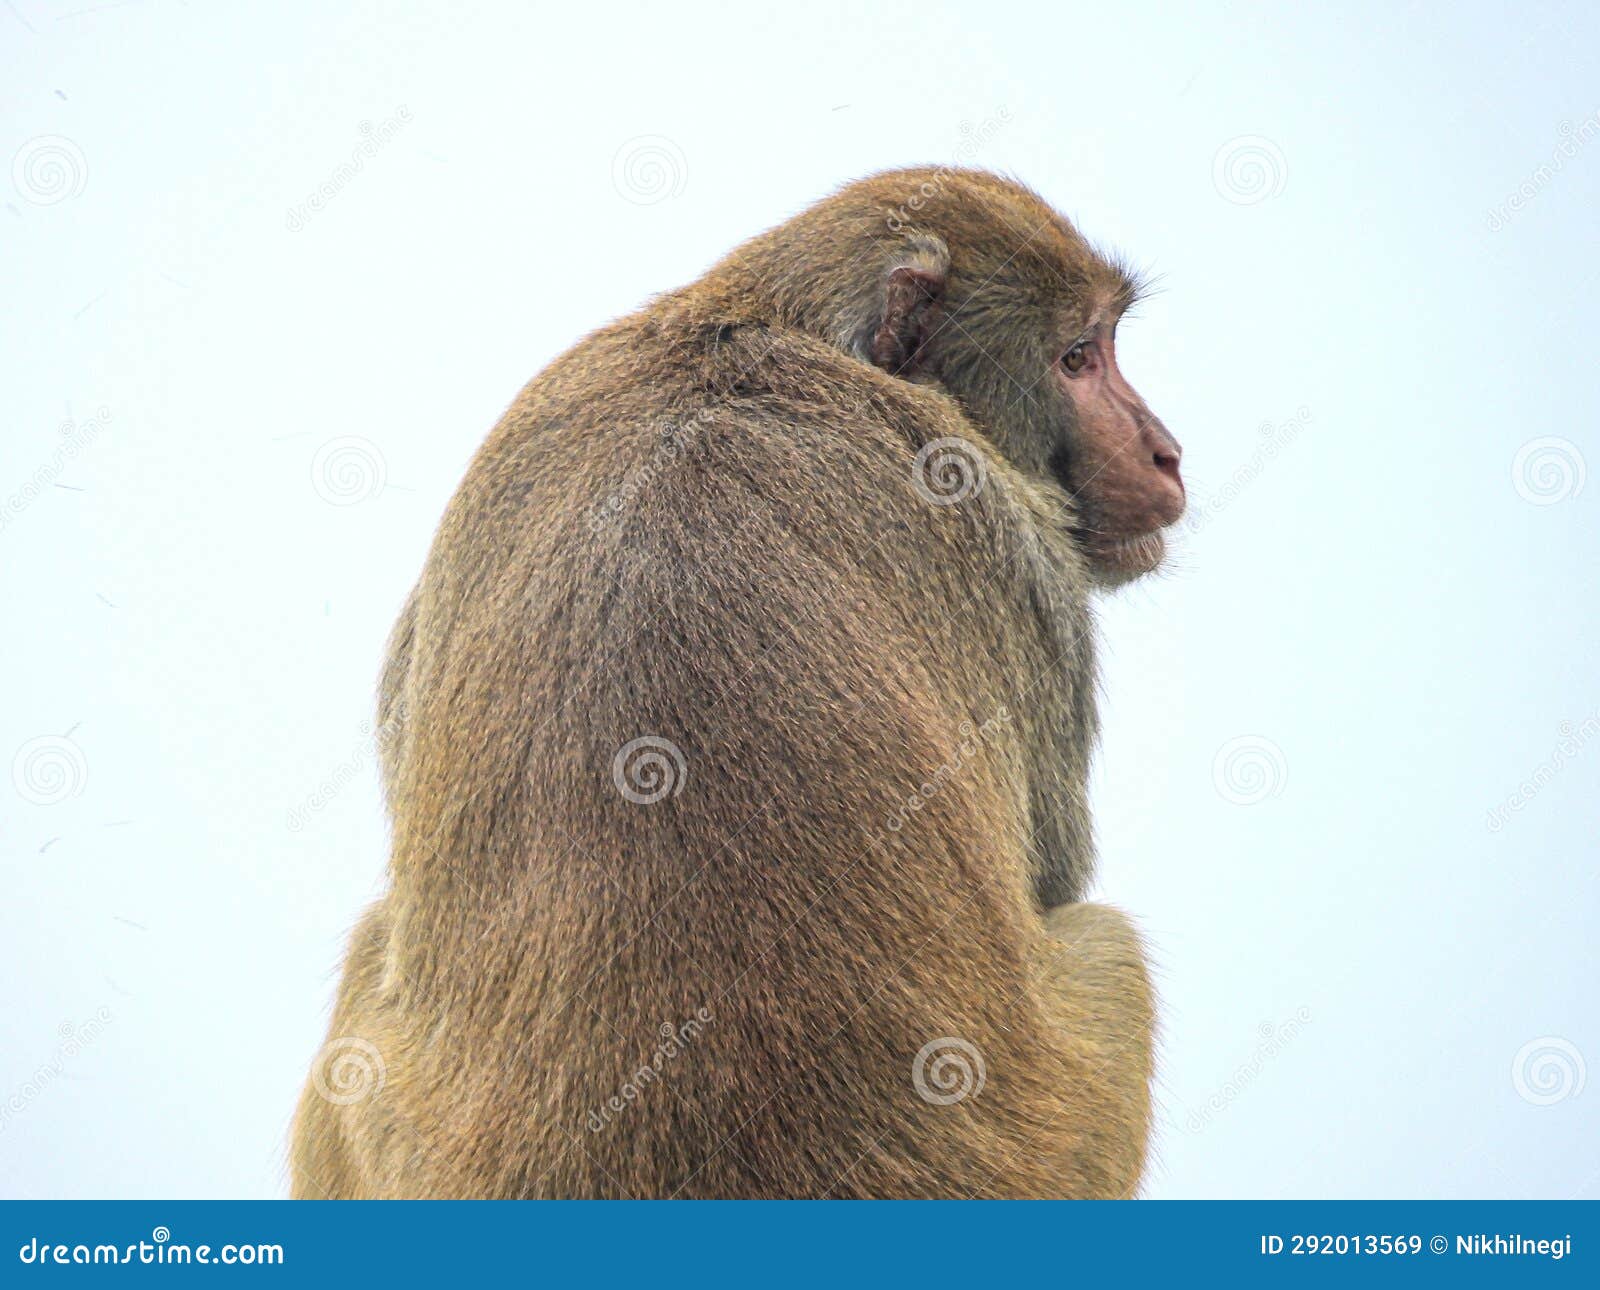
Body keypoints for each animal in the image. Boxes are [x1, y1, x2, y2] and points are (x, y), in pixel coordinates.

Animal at [290, 167, 1185, 1199]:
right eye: (1078, 357)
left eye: (1102, 346)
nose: (1165, 452)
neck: (749, 332)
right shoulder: (1017, 543)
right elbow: (1054, 877)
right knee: (1110, 946)